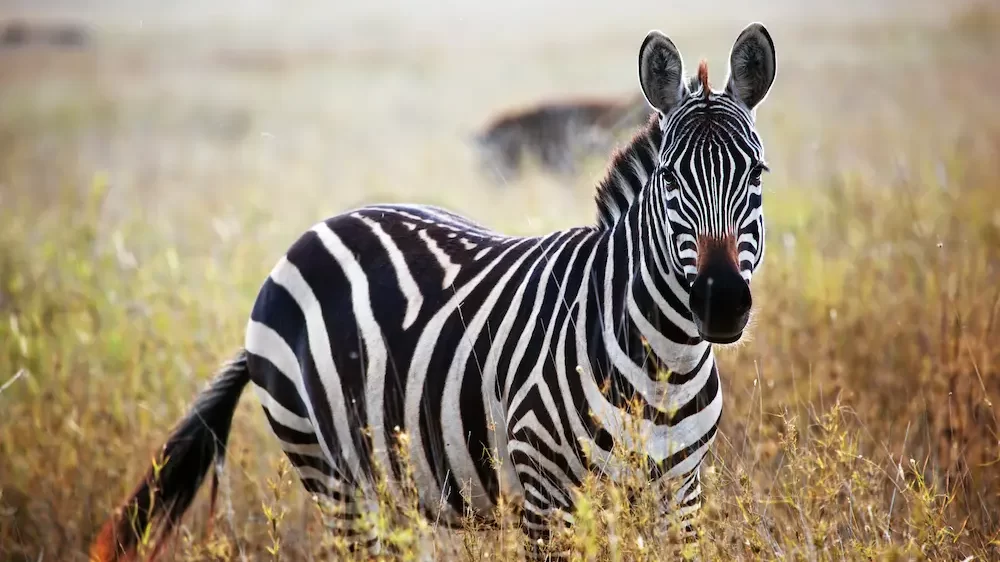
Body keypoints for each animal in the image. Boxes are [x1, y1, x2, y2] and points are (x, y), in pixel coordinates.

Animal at [89, 22, 776, 561]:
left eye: (758, 173)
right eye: (670, 178)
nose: (719, 303)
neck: (665, 364)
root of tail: (316, 230)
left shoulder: (680, 497)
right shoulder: (546, 494)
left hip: (387, 480)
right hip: (332, 475)